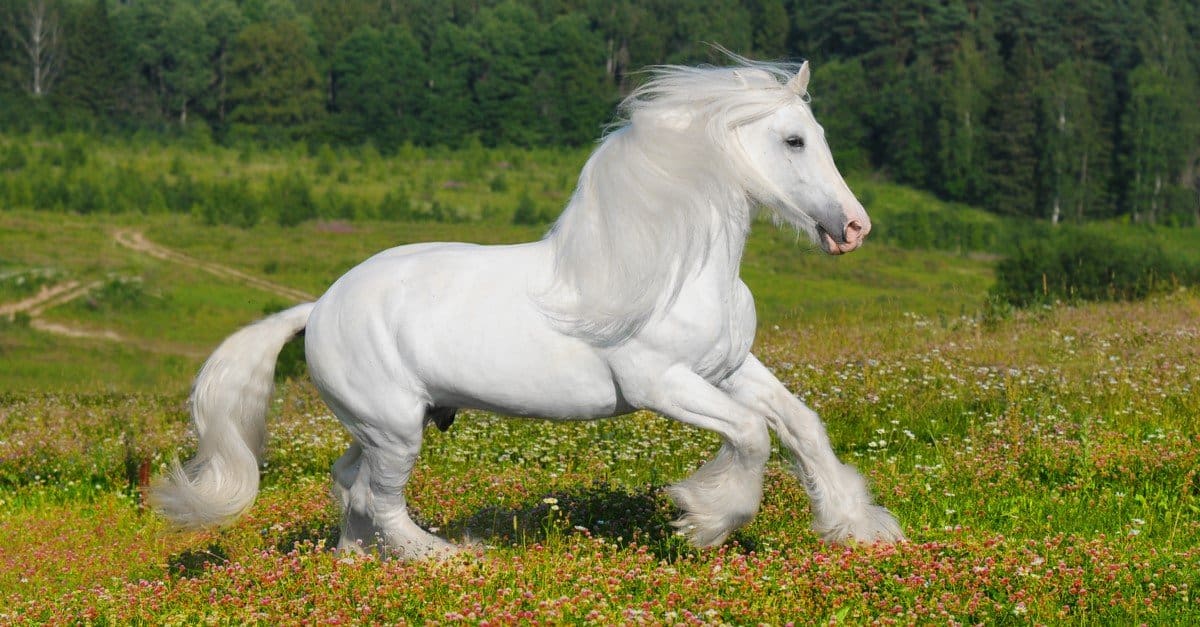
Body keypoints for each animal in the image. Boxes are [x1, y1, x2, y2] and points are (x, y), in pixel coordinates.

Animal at [151, 57, 905, 559]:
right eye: (793, 140)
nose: (854, 228)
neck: (673, 267)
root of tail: (316, 307)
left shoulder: (727, 368)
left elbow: (800, 425)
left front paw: (861, 529)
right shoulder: (661, 383)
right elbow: (750, 434)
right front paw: (702, 517)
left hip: (379, 424)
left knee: (347, 483)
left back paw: (357, 559)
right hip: (395, 428)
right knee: (378, 496)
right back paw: (443, 558)